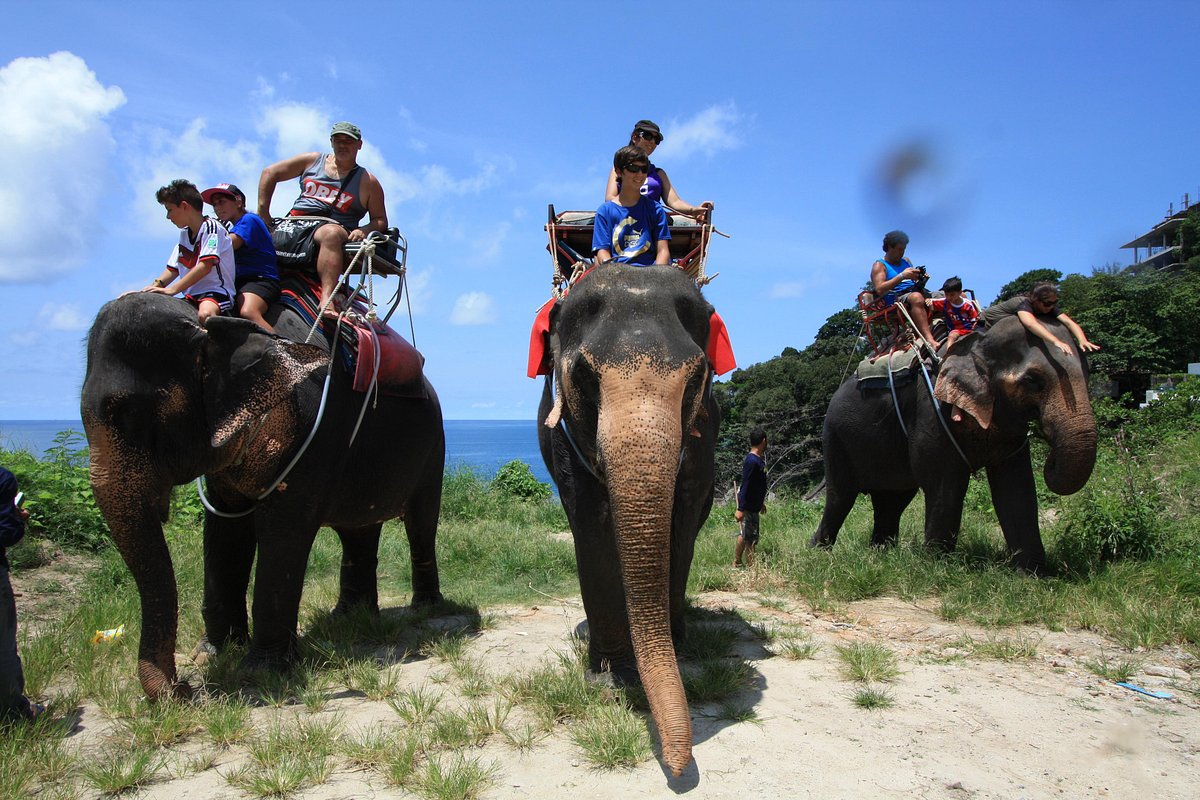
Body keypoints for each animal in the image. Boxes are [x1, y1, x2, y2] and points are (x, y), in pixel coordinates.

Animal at [81, 292, 444, 700]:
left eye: (129, 414)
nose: (183, 690)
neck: (217, 323)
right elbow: (225, 532)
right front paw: (213, 653)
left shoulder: (311, 434)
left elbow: (283, 533)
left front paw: (260, 672)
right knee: (358, 532)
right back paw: (349, 618)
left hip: (433, 449)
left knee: (420, 524)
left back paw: (425, 609)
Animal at [537, 263, 721, 777]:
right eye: (583, 376)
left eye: (696, 377)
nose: (679, 767)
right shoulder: (562, 435)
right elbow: (591, 523)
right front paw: (610, 679)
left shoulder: (703, 438)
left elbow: (681, 527)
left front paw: (673, 648)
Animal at [811, 313, 1097, 571]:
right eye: (1032, 381)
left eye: (1088, 371)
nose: (1050, 458)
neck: (978, 339)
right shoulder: (932, 409)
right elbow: (944, 483)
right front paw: (937, 566)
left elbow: (1016, 485)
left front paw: (1032, 574)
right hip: (836, 439)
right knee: (841, 497)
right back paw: (819, 551)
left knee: (892, 500)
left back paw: (881, 555)